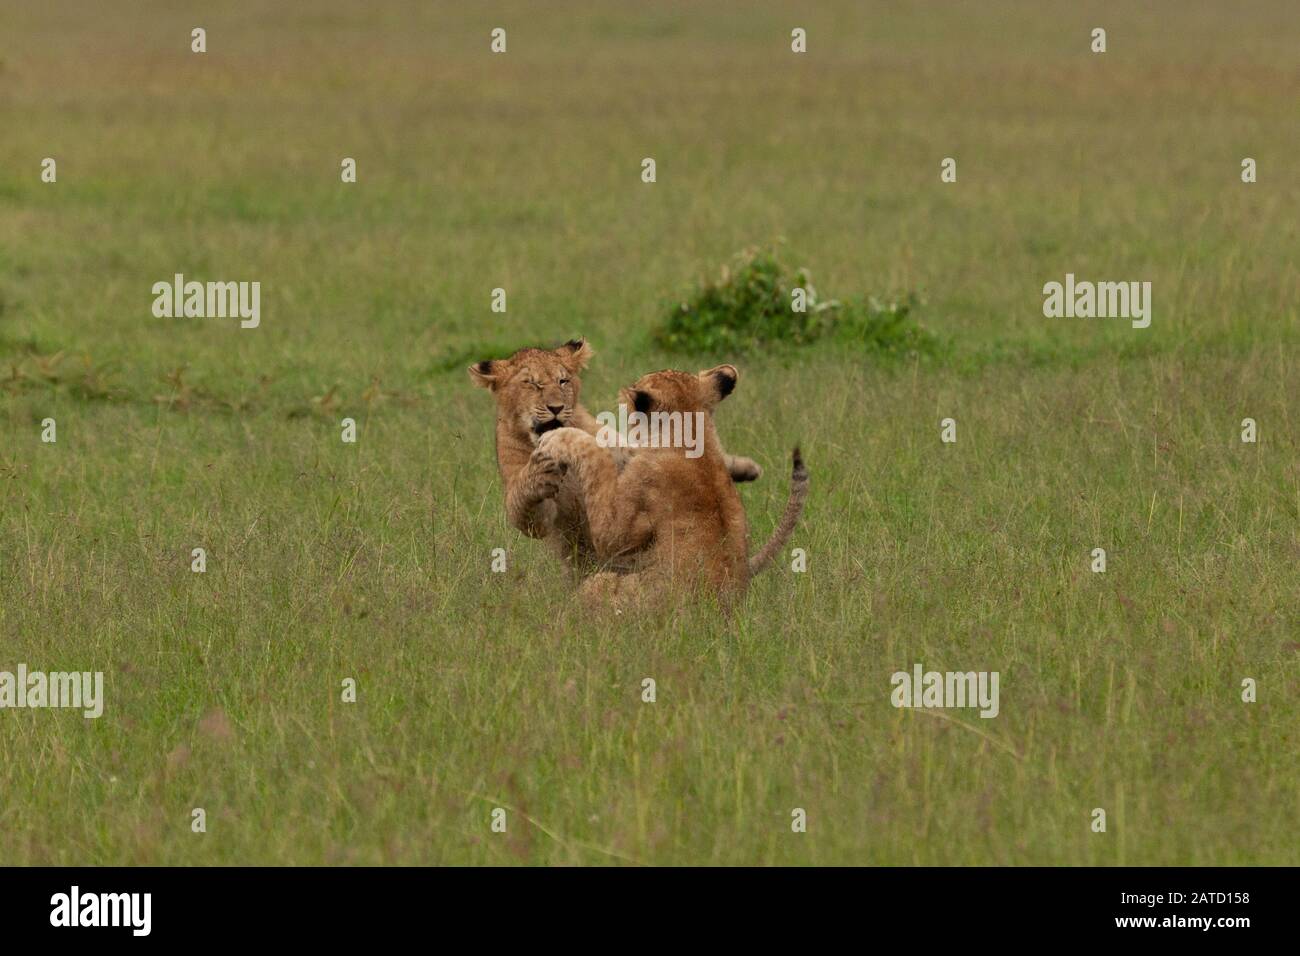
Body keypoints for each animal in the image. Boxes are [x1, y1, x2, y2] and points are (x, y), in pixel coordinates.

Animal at [468, 339, 762, 574]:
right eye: (530, 384)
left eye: (563, 381)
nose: (556, 407)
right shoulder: (538, 513)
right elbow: (525, 507)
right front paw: (538, 474)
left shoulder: (615, 443)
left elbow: (621, 447)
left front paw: (743, 467)